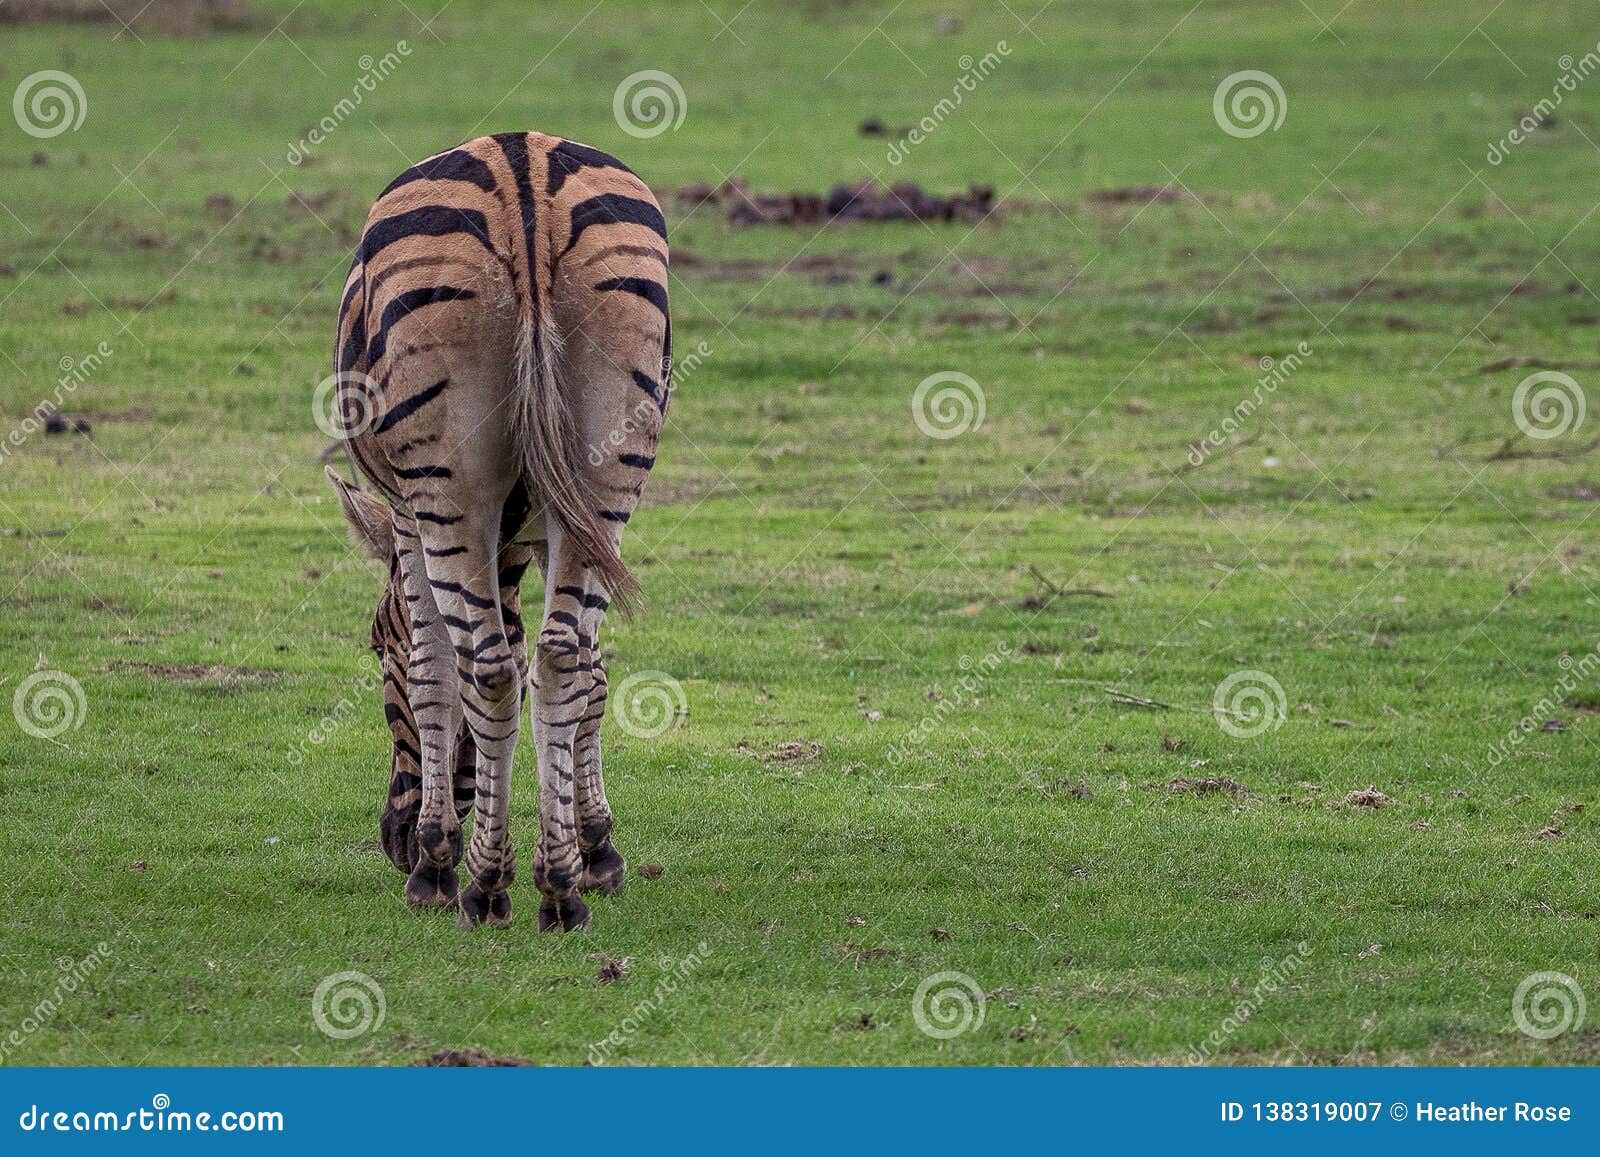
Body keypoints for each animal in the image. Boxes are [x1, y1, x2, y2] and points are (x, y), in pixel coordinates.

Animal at [322, 132, 669, 932]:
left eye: (374, 646)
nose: (391, 840)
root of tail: (523, 169)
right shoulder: (547, 531)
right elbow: (589, 671)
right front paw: (595, 847)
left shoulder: (411, 516)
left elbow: (434, 674)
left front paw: (436, 860)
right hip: (610, 472)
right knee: (559, 660)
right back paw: (561, 889)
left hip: (449, 488)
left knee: (485, 668)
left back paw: (480, 886)